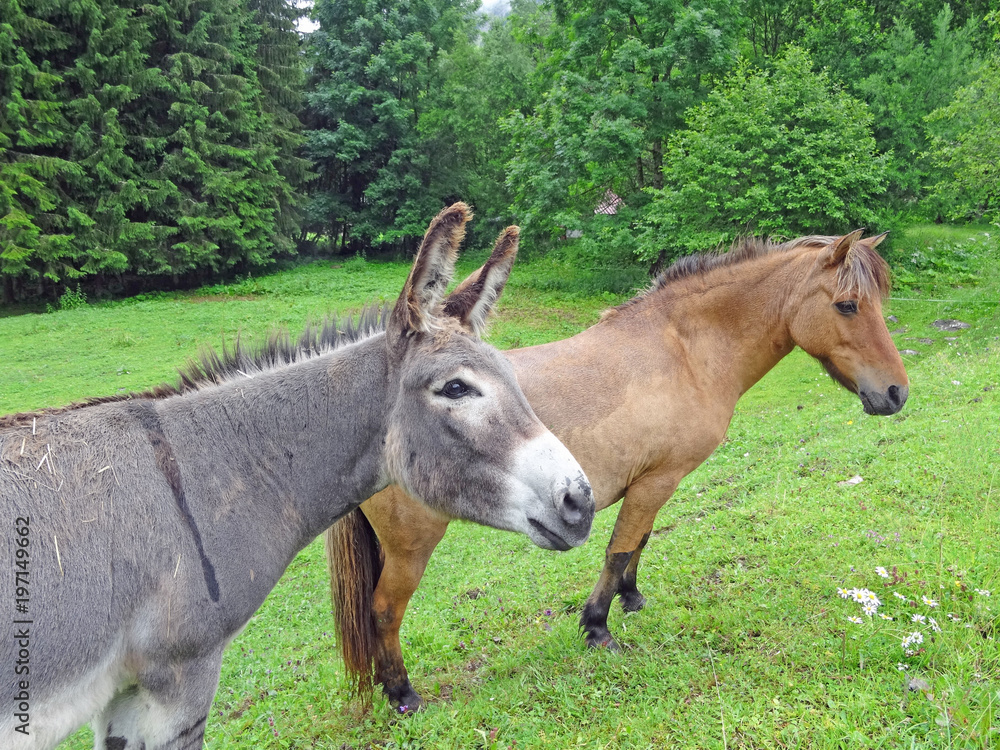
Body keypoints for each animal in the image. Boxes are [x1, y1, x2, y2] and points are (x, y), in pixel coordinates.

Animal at [0, 203, 595, 750]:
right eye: (455, 388)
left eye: (512, 375)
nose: (581, 501)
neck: (203, 475)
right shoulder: (177, 684)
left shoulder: (126, 694)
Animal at [326, 229, 910, 711]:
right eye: (847, 306)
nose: (896, 393)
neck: (685, 351)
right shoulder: (655, 481)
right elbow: (620, 548)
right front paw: (597, 627)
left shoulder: (654, 483)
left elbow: (639, 542)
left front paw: (630, 598)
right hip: (411, 547)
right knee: (384, 611)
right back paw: (402, 694)